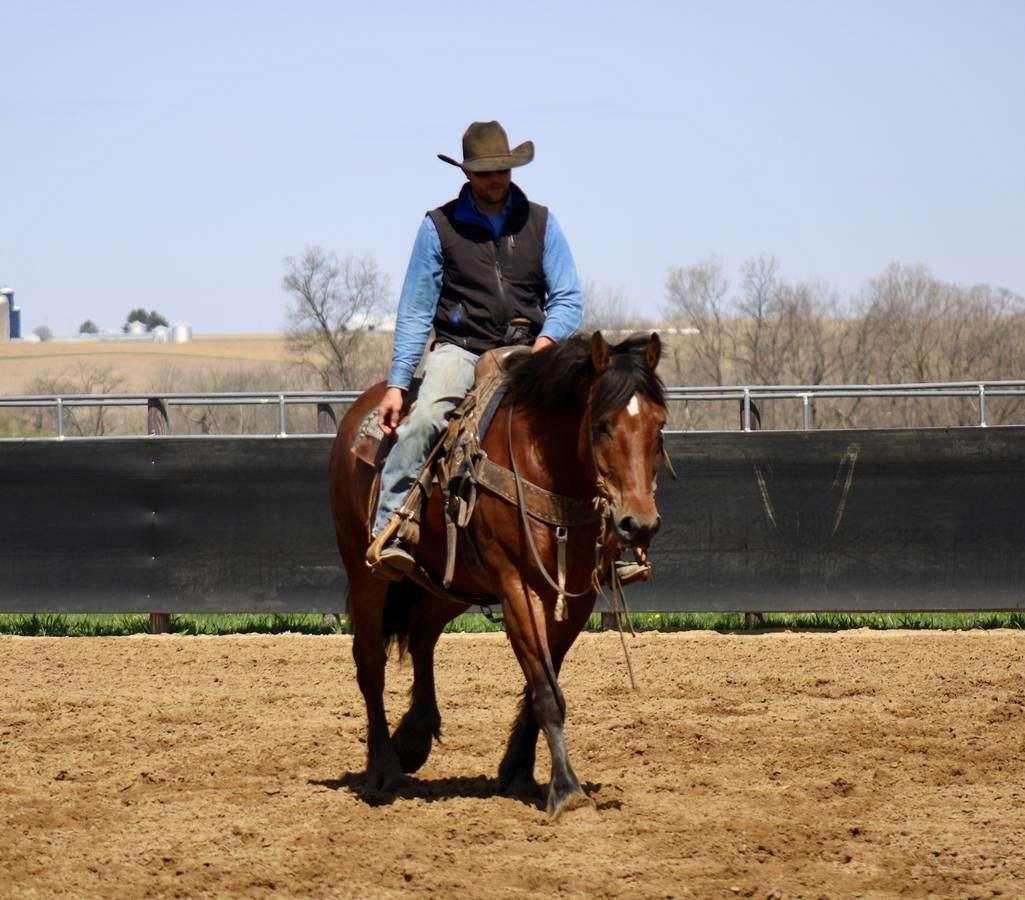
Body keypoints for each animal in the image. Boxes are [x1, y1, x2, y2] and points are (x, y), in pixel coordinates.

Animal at [328, 330, 667, 816]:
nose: (638, 524)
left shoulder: (576, 597)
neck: (547, 465)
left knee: (423, 635)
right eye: (602, 425)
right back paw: (384, 767)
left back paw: (414, 737)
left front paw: (520, 772)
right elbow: (546, 690)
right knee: (370, 662)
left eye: (659, 426)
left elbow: (541, 680)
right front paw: (566, 790)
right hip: (366, 573)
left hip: (451, 583)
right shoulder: (518, 587)